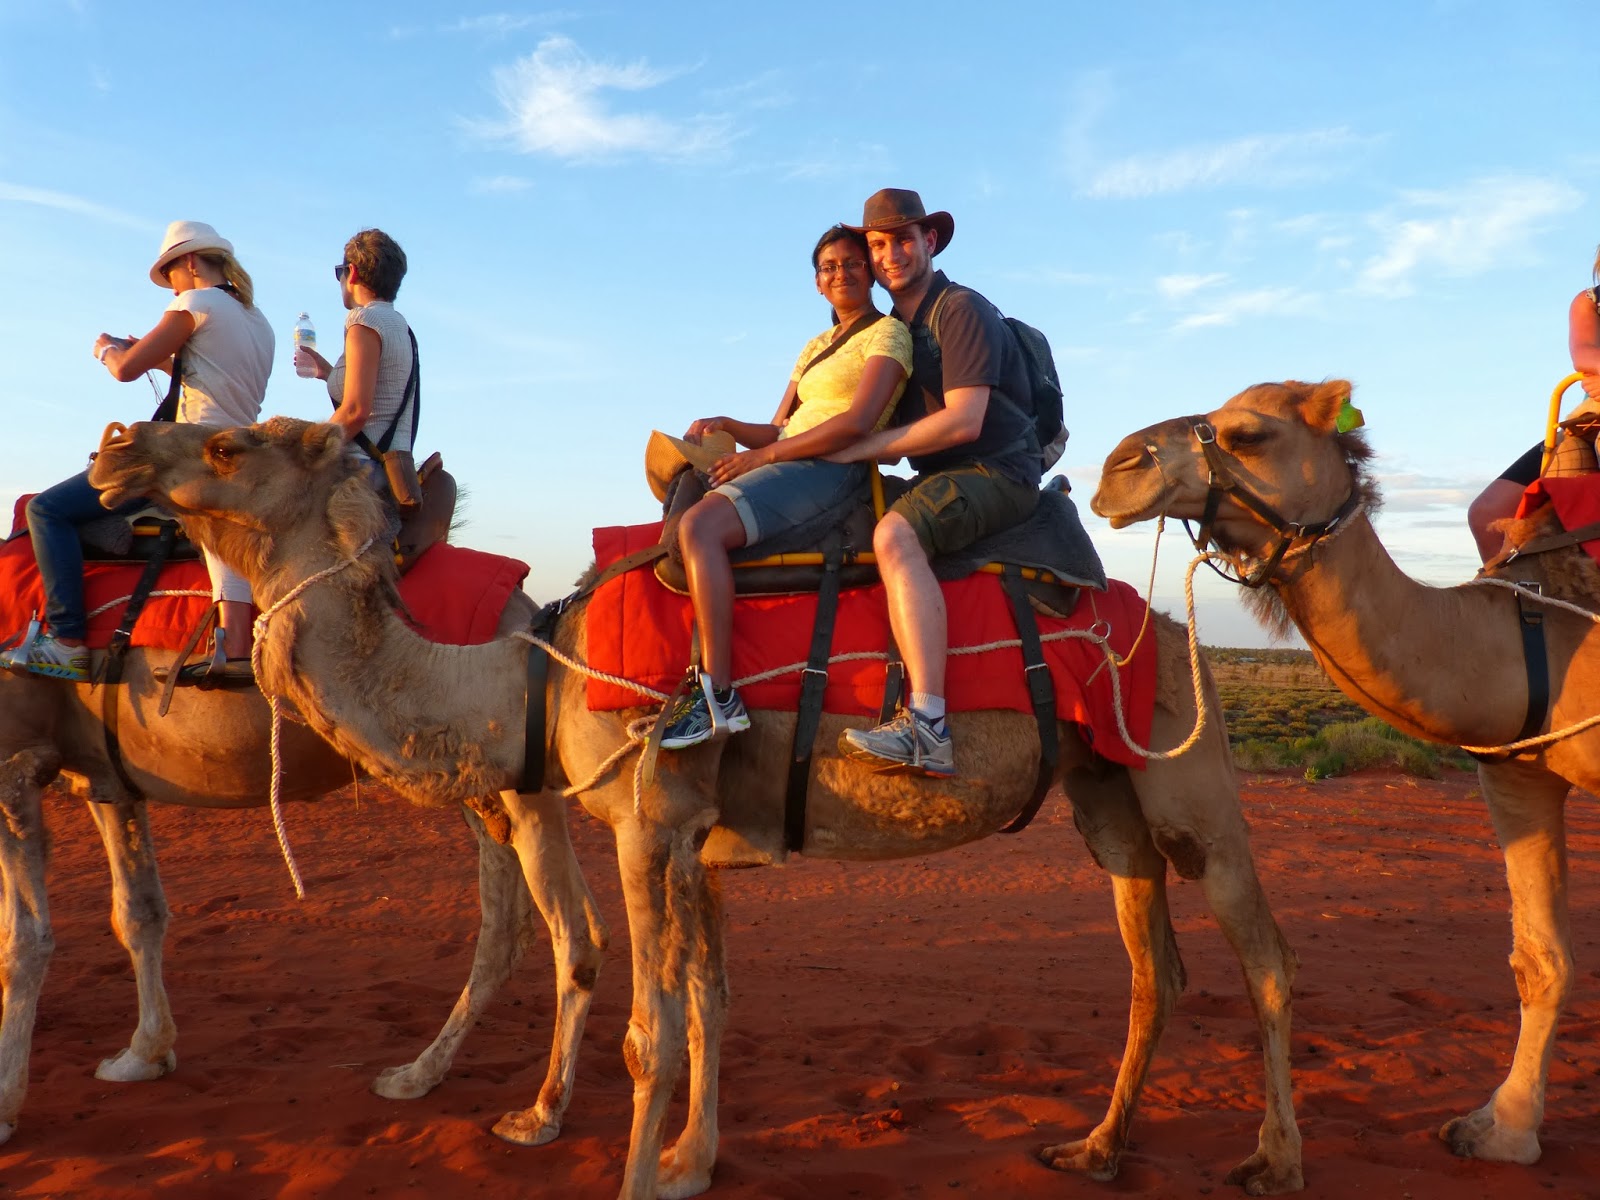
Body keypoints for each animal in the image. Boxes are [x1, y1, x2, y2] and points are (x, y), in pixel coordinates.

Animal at [0, 545, 605, 1148]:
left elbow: (23, 938)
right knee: (512, 928)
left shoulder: (15, 761)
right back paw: (418, 1075)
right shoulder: (104, 778)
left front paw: (7, 1107)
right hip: (482, 784)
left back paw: (542, 1112)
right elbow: (137, 912)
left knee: (571, 932)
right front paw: (143, 1054)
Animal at [89, 414, 1305, 1200]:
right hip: (1106, 797)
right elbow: (708, 1005)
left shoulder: (643, 823)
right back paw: (1096, 1151)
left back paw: (1272, 1160)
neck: (535, 671)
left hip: (1193, 774)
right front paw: (686, 1165)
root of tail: (1173, 629)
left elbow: (648, 1036)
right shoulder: (693, 841)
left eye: (230, 444)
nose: (110, 449)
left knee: (1261, 959)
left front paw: (634, 1172)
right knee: (1154, 966)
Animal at [1092, 378, 1600, 1170]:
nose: (1115, 468)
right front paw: (1501, 1132)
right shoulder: (1518, 776)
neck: (1533, 632)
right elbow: (1541, 959)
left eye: (1247, 435)